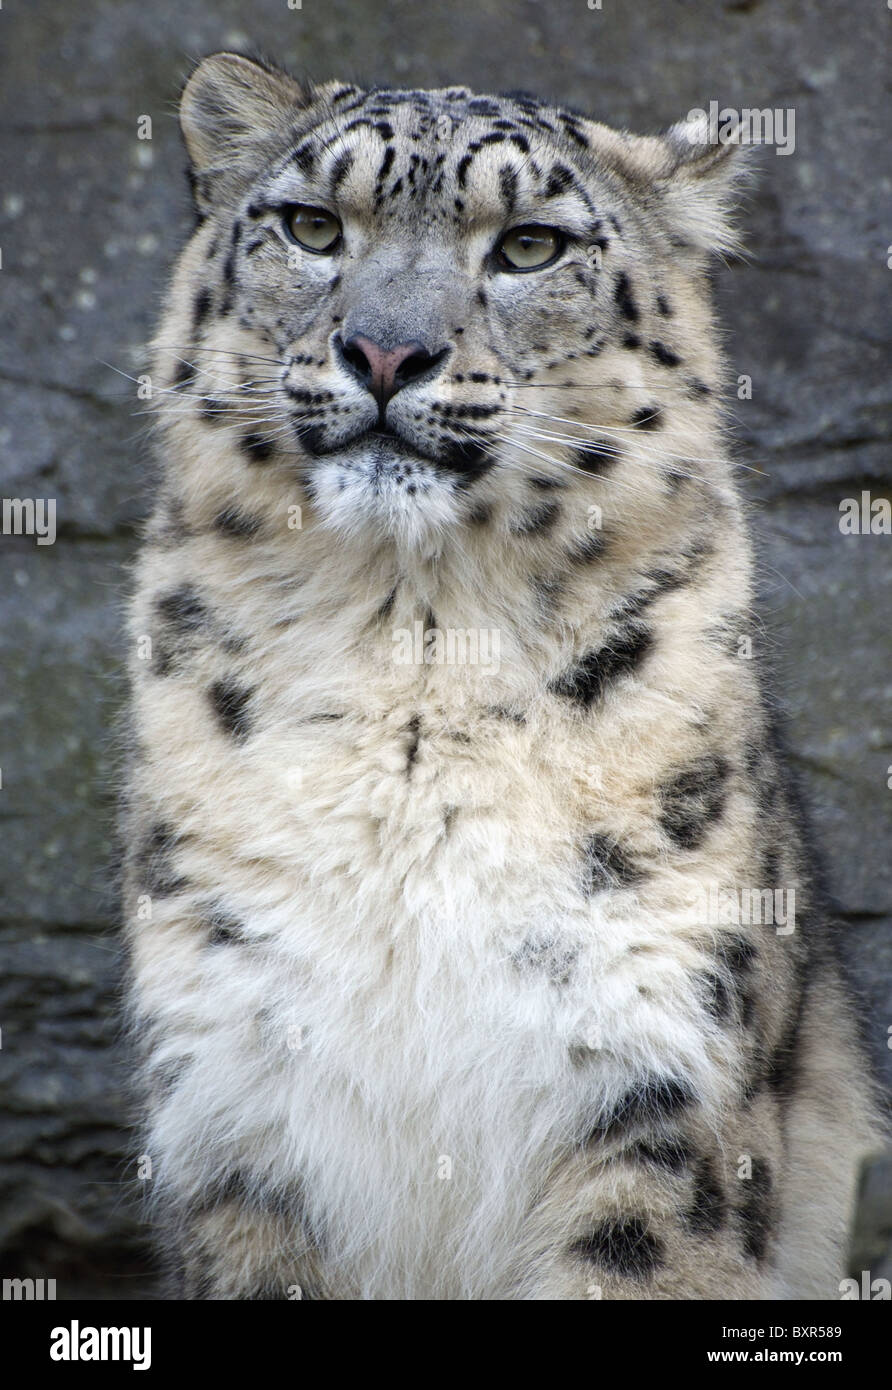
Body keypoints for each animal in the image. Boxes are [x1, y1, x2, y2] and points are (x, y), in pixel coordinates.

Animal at [123, 51, 884, 1300]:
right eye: (313, 225)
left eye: (529, 245)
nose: (386, 352)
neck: (413, 647)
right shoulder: (232, 1085)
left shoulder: (656, 1081)